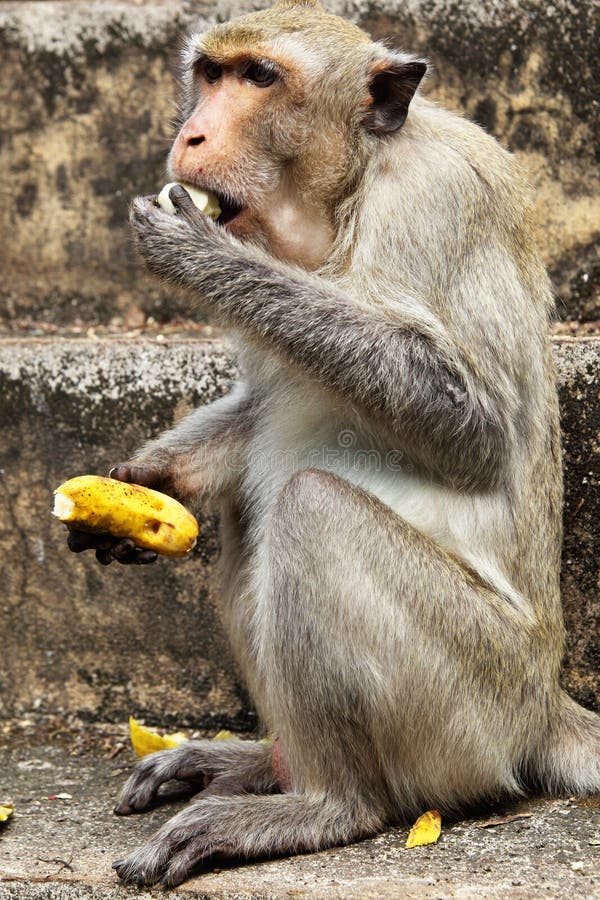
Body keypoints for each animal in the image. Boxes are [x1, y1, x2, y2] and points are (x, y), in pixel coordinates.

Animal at [67, 0, 600, 888]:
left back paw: (323, 804)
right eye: (210, 74)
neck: (350, 189)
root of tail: (542, 706)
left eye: (259, 78)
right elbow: (258, 408)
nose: (192, 134)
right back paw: (263, 763)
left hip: (471, 701)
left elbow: (472, 422)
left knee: (310, 509)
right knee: (255, 510)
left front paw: (200, 254)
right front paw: (150, 481)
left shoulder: (436, 199)